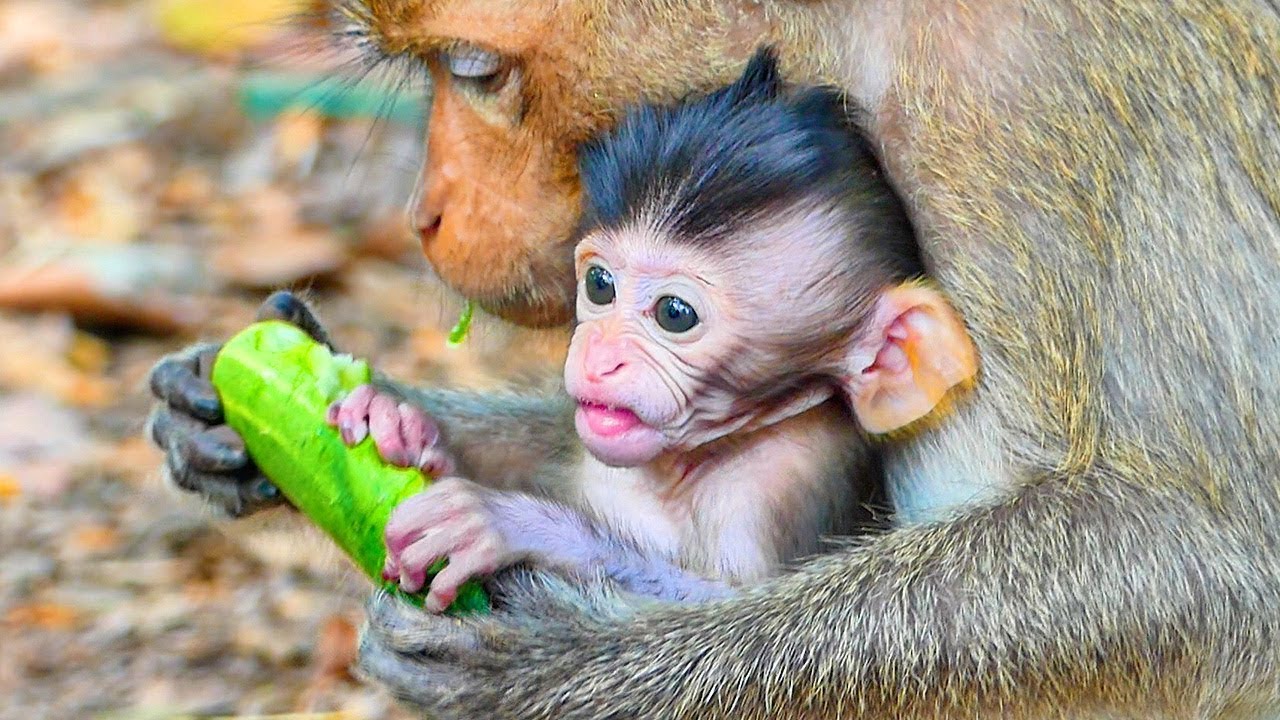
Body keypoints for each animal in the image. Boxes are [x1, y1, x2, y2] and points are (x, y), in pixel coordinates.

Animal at [322, 49, 975, 613]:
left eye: (674, 314)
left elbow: (729, 607)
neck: (684, 468)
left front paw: (513, 525)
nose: (599, 356)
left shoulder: (784, 479)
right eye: (600, 285)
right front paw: (396, 421)